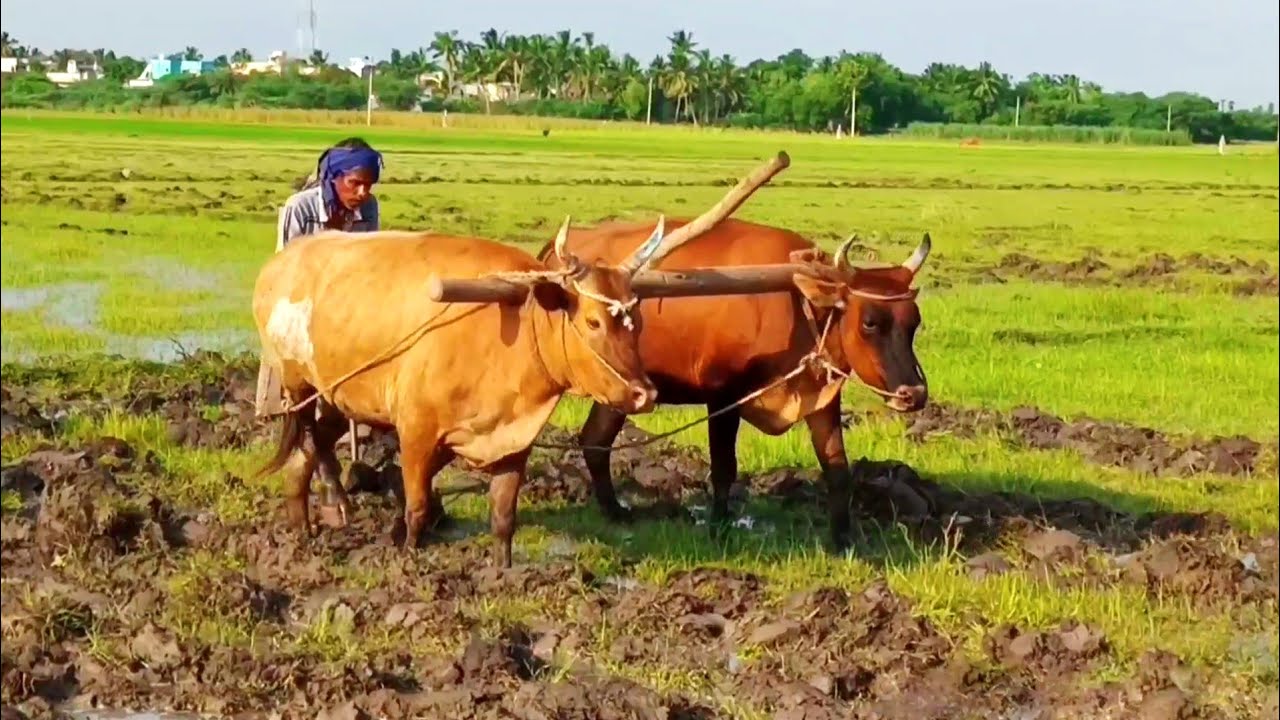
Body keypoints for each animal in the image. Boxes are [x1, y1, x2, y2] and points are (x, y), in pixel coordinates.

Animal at [536, 217, 932, 550]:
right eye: (869, 322)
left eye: (914, 321)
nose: (913, 394)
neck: (793, 301)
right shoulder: (723, 396)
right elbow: (724, 467)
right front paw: (719, 529)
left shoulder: (821, 398)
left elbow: (837, 468)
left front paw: (842, 539)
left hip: (618, 389)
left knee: (595, 441)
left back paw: (615, 511)